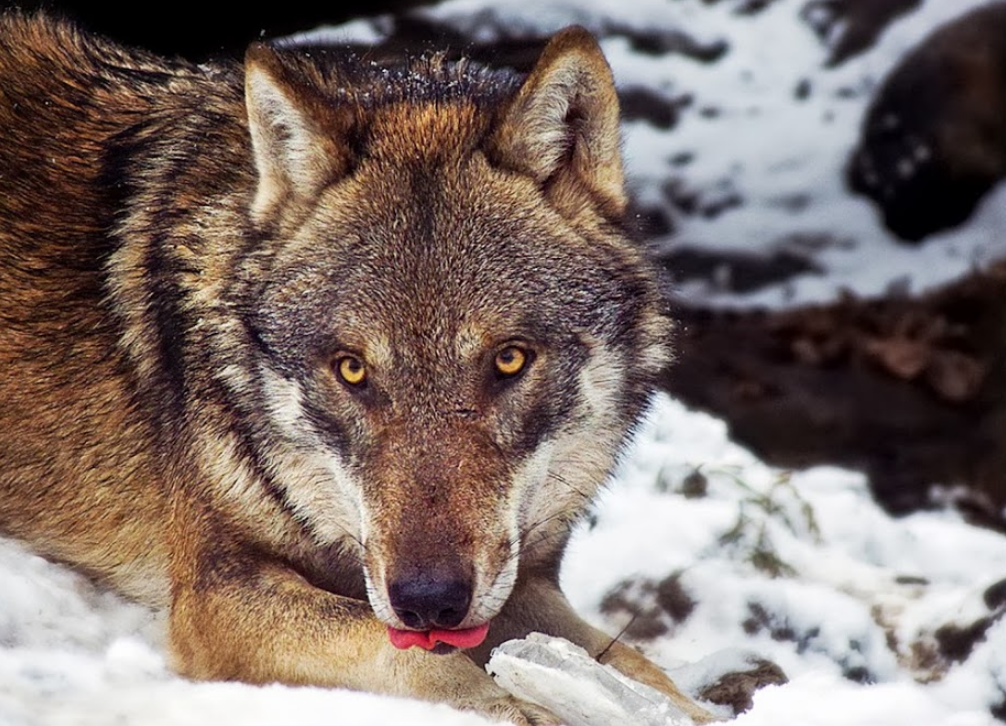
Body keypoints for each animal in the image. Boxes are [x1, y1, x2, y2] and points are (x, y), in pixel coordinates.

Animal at [0, 13, 714, 724]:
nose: (428, 600)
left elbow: (636, 665)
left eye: (509, 359)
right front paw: (524, 706)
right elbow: (417, 658)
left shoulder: (519, 583)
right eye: (351, 370)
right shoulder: (217, 594)